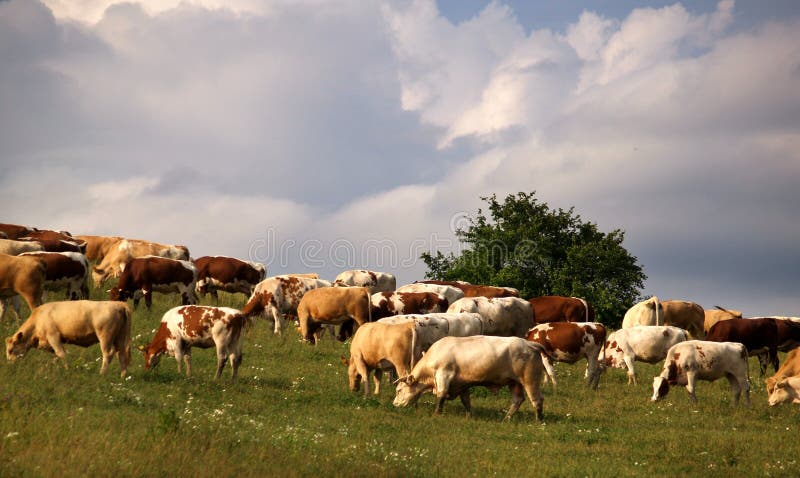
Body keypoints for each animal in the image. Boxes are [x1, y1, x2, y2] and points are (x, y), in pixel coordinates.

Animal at [393, 335, 546, 421]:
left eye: (399, 390)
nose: (394, 404)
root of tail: (530, 344)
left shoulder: (444, 375)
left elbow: (441, 396)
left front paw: (436, 414)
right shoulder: (461, 384)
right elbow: (466, 401)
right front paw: (469, 416)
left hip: (530, 380)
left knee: (537, 400)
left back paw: (539, 421)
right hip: (514, 383)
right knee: (517, 400)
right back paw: (506, 419)